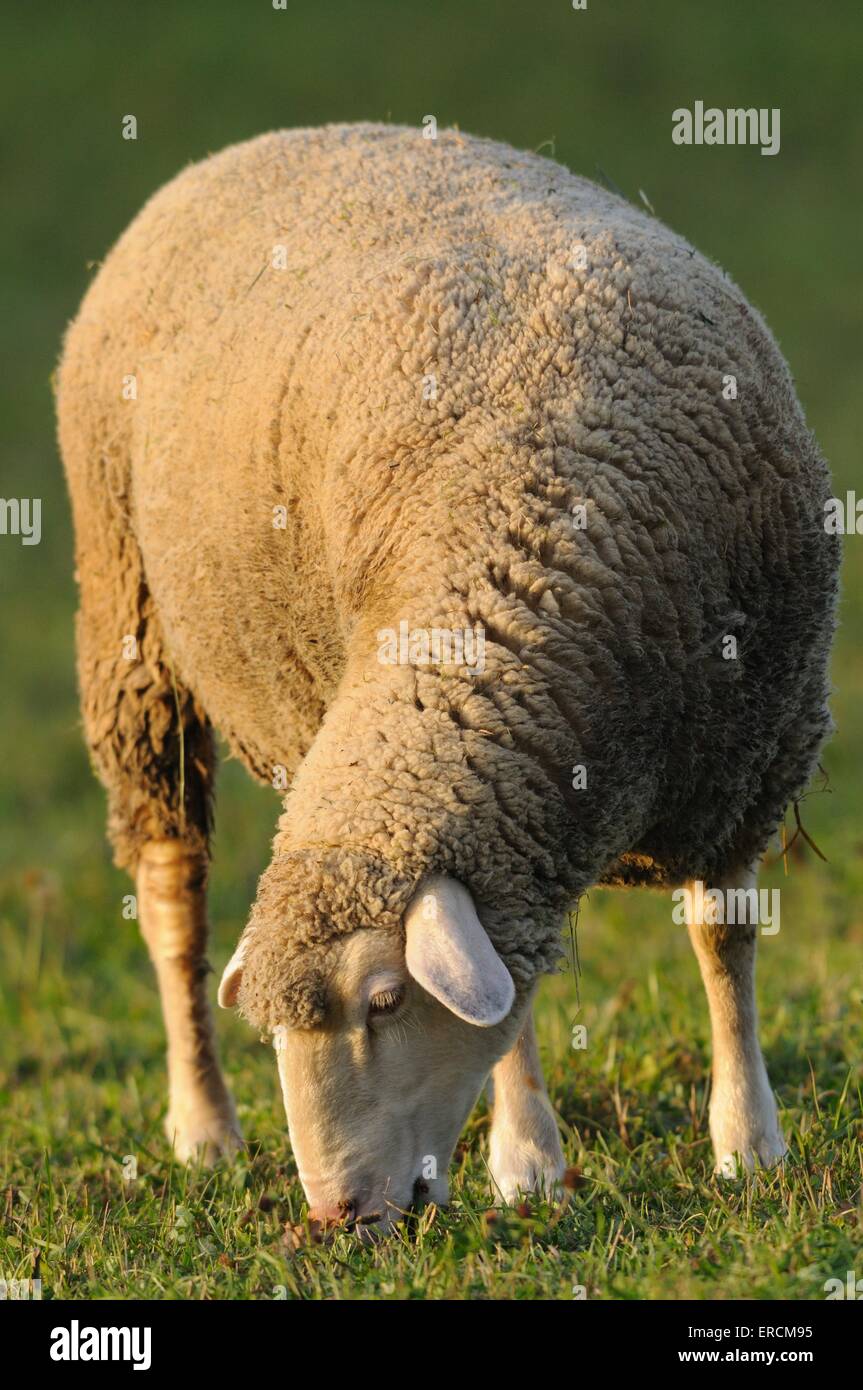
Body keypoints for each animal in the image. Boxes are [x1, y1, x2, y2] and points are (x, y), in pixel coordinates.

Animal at [57, 123, 839, 1226]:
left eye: (385, 1000)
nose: (335, 1214)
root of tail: (242, 148)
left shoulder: (745, 763)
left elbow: (722, 950)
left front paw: (748, 1145)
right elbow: (507, 1013)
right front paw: (528, 1162)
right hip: (130, 627)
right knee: (173, 898)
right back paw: (203, 1124)